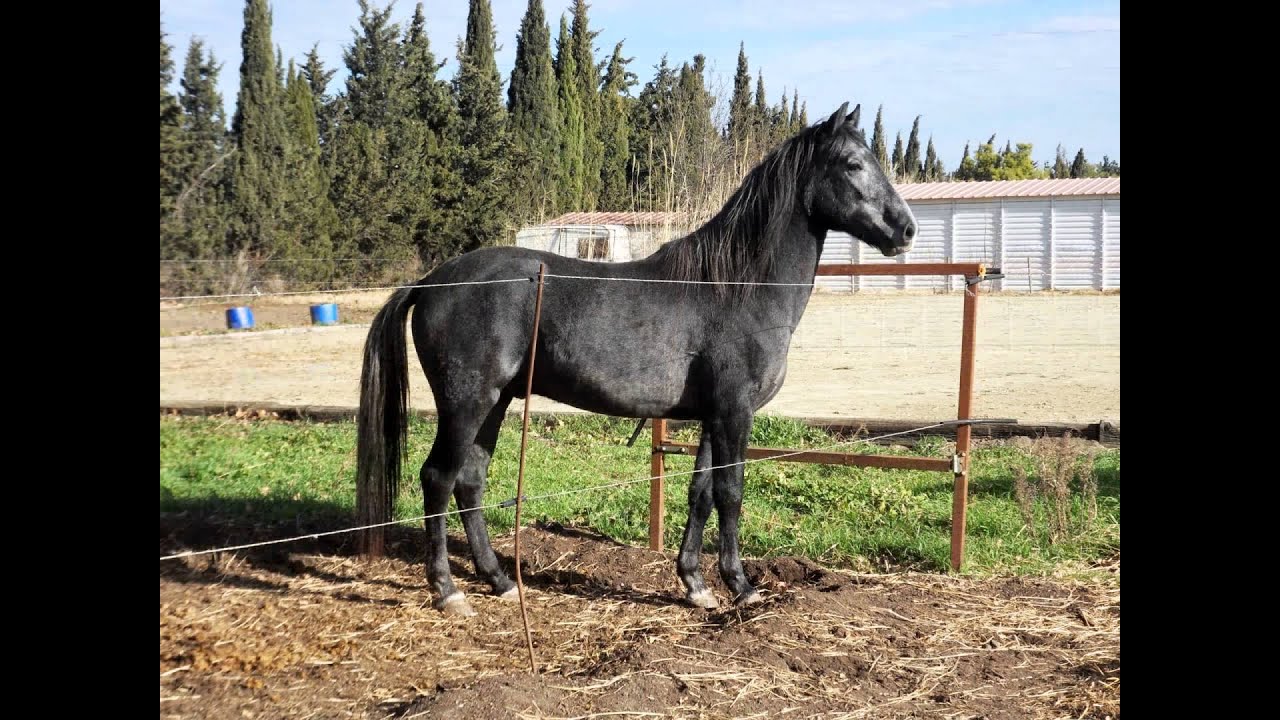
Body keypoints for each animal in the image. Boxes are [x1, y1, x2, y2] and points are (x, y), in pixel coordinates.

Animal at [355, 102, 917, 617]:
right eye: (852, 164)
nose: (906, 229)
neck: (736, 287)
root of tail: (432, 280)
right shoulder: (734, 414)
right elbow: (731, 492)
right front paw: (741, 585)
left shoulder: (712, 417)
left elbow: (701, 493)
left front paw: (695, 585)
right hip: (466, 403)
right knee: (438, 478)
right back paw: (448, 592)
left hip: (495, 404)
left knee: (470, 481)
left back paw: (499, 580)